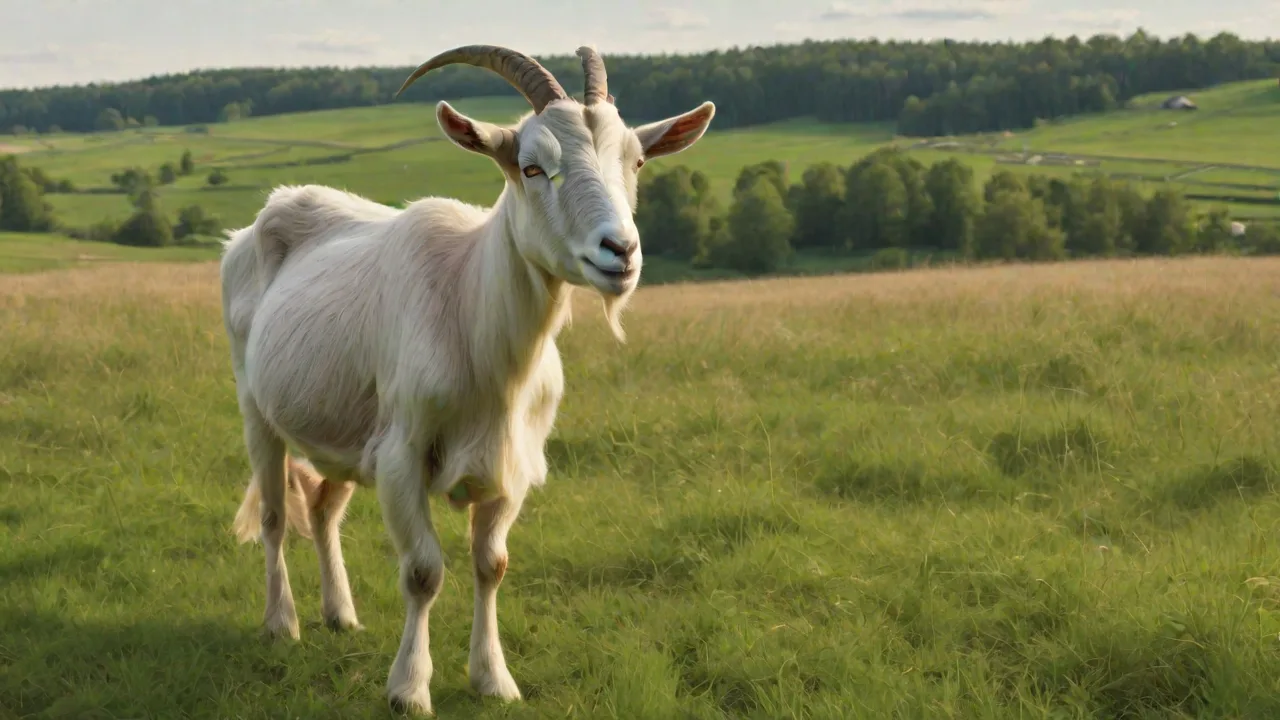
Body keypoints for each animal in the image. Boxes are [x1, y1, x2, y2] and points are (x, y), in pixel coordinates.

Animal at [218, 44, 715, 715]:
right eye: (531, 167)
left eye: (636, 161)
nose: (621, 252)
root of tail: (256, 223)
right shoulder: (401, 455)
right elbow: (424, 571)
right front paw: (409, 689)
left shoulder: (512, 465)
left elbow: (492, 565)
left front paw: (493, 679)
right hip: (256, 405)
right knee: (274, 514)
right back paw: (281, 624)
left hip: (343, 426)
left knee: (321, 508)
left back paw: (340, 615)